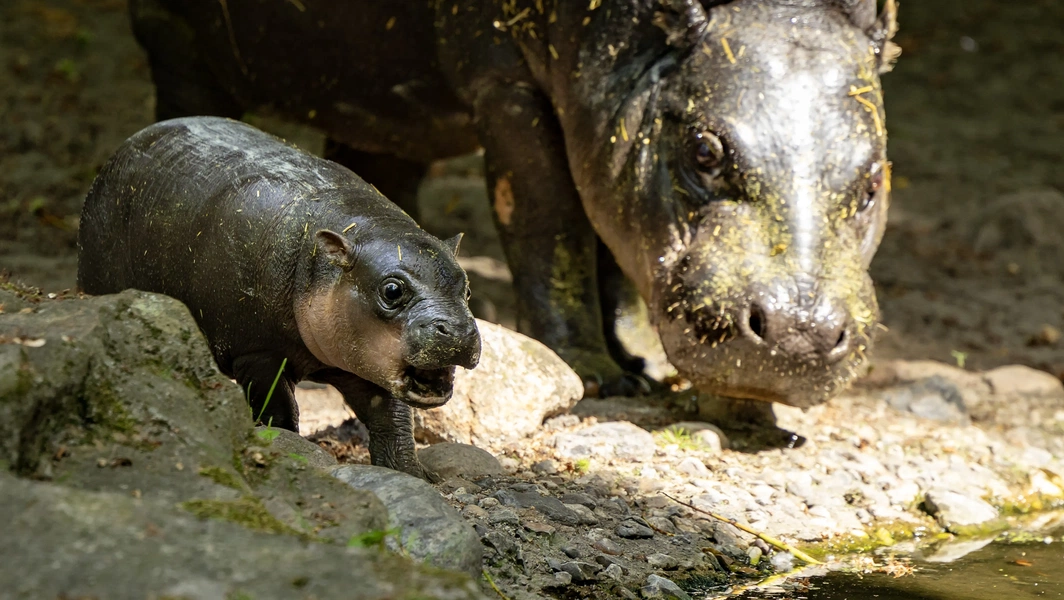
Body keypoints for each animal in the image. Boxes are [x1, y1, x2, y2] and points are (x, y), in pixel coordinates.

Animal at [77, 116, 481, 478]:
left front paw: (414, 475)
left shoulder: (364, 362)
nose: (458, 331)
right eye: (392, 290)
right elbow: (280, 411)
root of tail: (126, 145)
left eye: (466, 286)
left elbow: (392, 418)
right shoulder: (257, 352)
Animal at [129, 0, 899, 407]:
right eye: (704, 150)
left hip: (383, 108)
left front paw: (638, 365)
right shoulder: (507, 85)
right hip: (178, 41)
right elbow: (548, 216)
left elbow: (604, 232)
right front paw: (597, 374)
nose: (798, 333)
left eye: (872, 181)